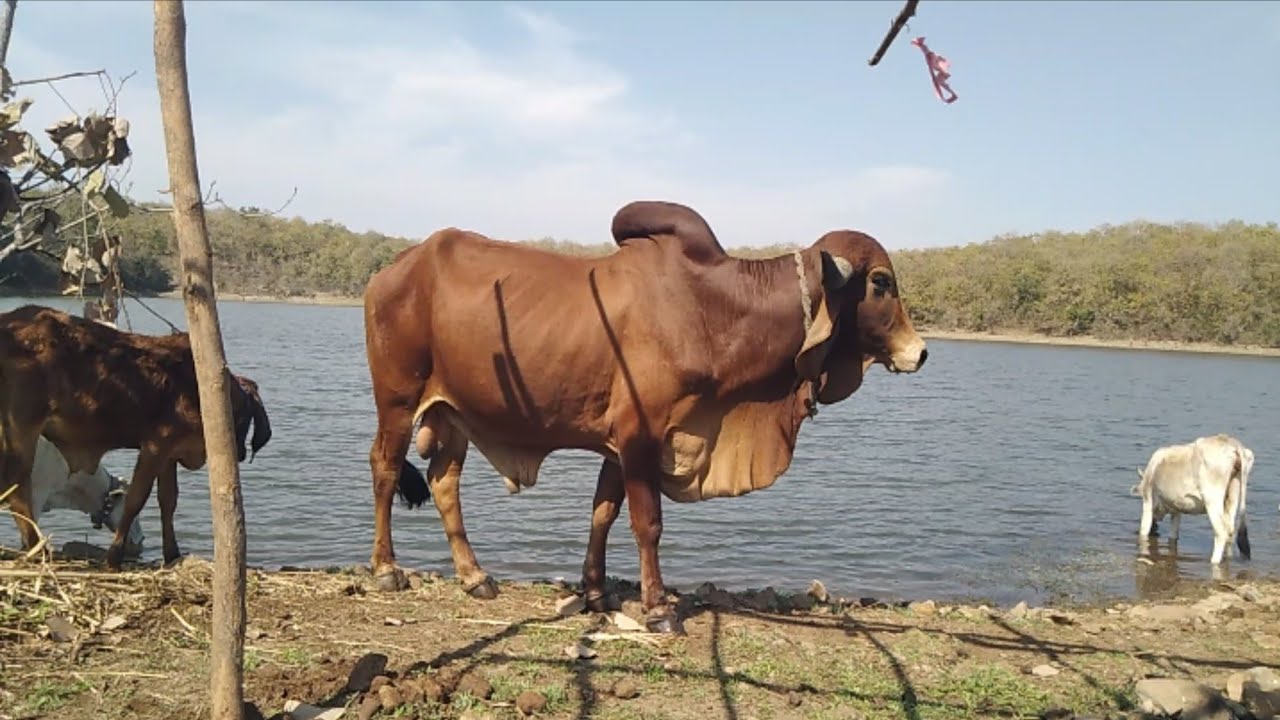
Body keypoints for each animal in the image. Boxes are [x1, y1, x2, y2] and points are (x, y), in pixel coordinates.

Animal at [0, 304, 272, 570]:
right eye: (240, 413)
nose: (239, 452)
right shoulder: (155, 445)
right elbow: (136, 500)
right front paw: (114, 557)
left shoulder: (169, 453)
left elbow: (168, 501)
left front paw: (172, 553)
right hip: (22, 427)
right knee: (18, 485)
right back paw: (37, 548)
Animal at [362, 200, 928, 633]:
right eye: (880, 282)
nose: (920, 352)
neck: (715, 309)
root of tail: (393, 269)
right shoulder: (640, 434)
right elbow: (647, 523)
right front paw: (657, 609)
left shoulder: (619, 444)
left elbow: (603, 514)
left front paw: (595, 592)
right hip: (397, 399)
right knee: (385, 467)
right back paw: (387, 568)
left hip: (453, 413)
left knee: (444, 482)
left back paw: (474, 576)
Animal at [1132, 433, 1254, 566]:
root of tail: (1232, 443)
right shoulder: (1176, 508)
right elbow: (1173, 535)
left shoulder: (1148, 500)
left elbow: (1143, 531)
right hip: (1233, 495)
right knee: (1230, 531)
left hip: (1212, 500)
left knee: (1221, 533)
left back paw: (1213, 561)